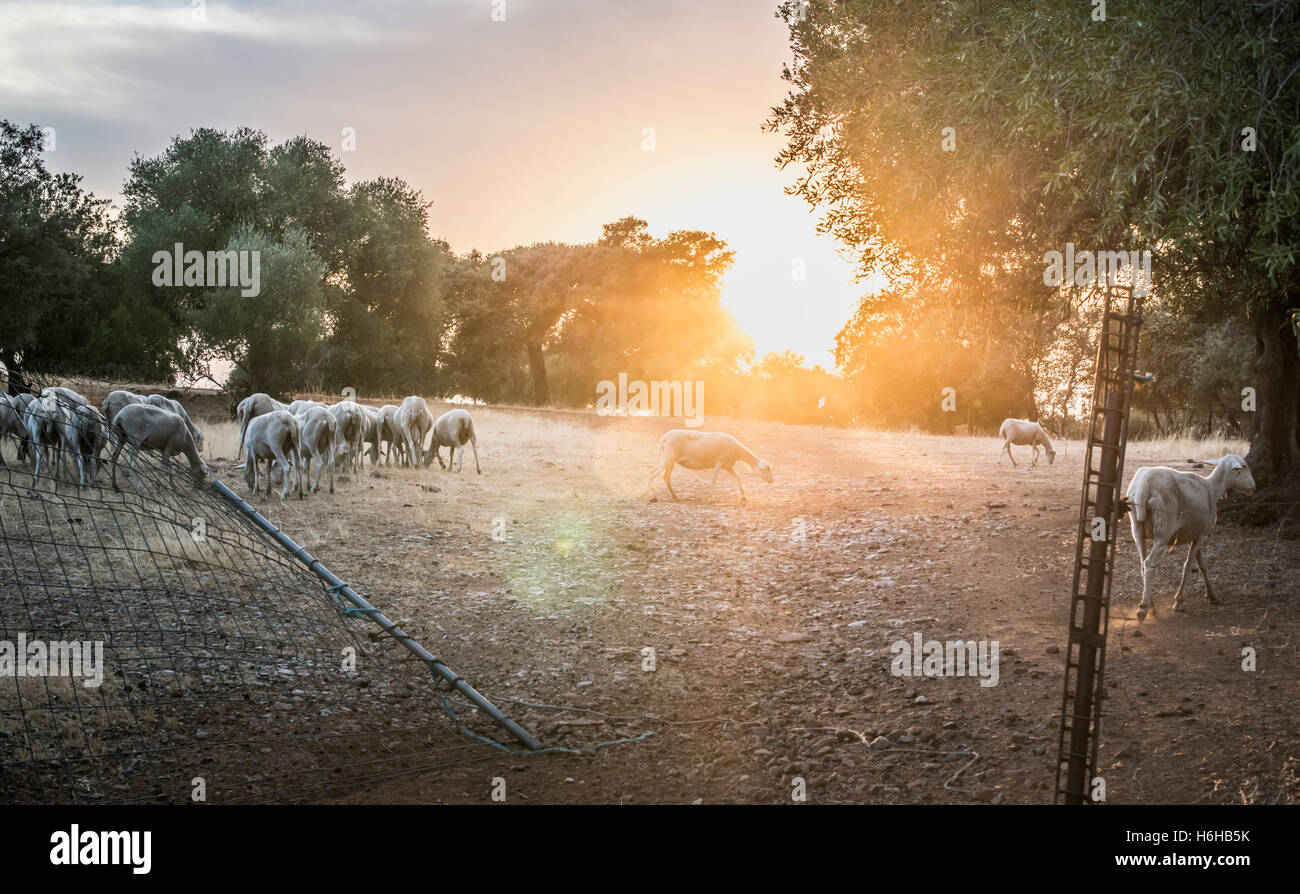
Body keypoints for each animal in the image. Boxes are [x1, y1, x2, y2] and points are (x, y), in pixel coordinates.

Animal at [1122, 455, 1255, 621]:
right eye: (1244, 466)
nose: (1254, 487)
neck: (1213, 488)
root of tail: (1144, 485)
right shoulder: (1202, 535)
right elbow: (1188, 565)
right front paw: (1179, 601)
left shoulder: (1194, 534)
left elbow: (1202, 564)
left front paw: (1212, 595)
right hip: (1163, 531)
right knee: (1149, 563)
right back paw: (1144, 608)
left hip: (1136, 529)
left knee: (1142, 564)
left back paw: (1151, 605)